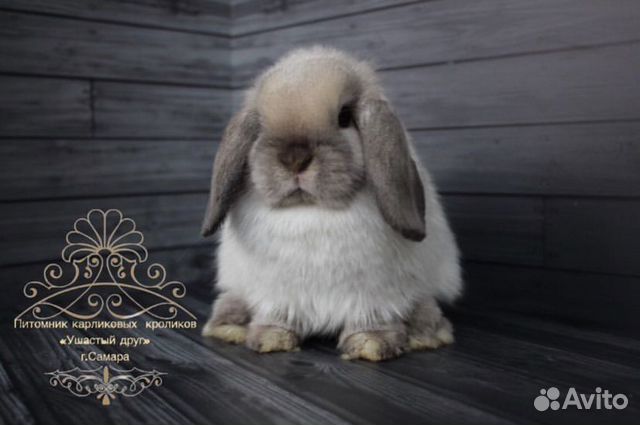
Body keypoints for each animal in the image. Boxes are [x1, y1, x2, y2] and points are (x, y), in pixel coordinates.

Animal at [200, 46, 462, 361]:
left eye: (345, 117)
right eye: (260, 126)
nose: (294, 158)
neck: (310, 210)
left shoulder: (374, 295)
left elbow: (372, 318)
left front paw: (371, 345)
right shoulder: (278, 293)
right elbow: (276, 315)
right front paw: (270, 339)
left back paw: (426, 334)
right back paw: (229, 326)